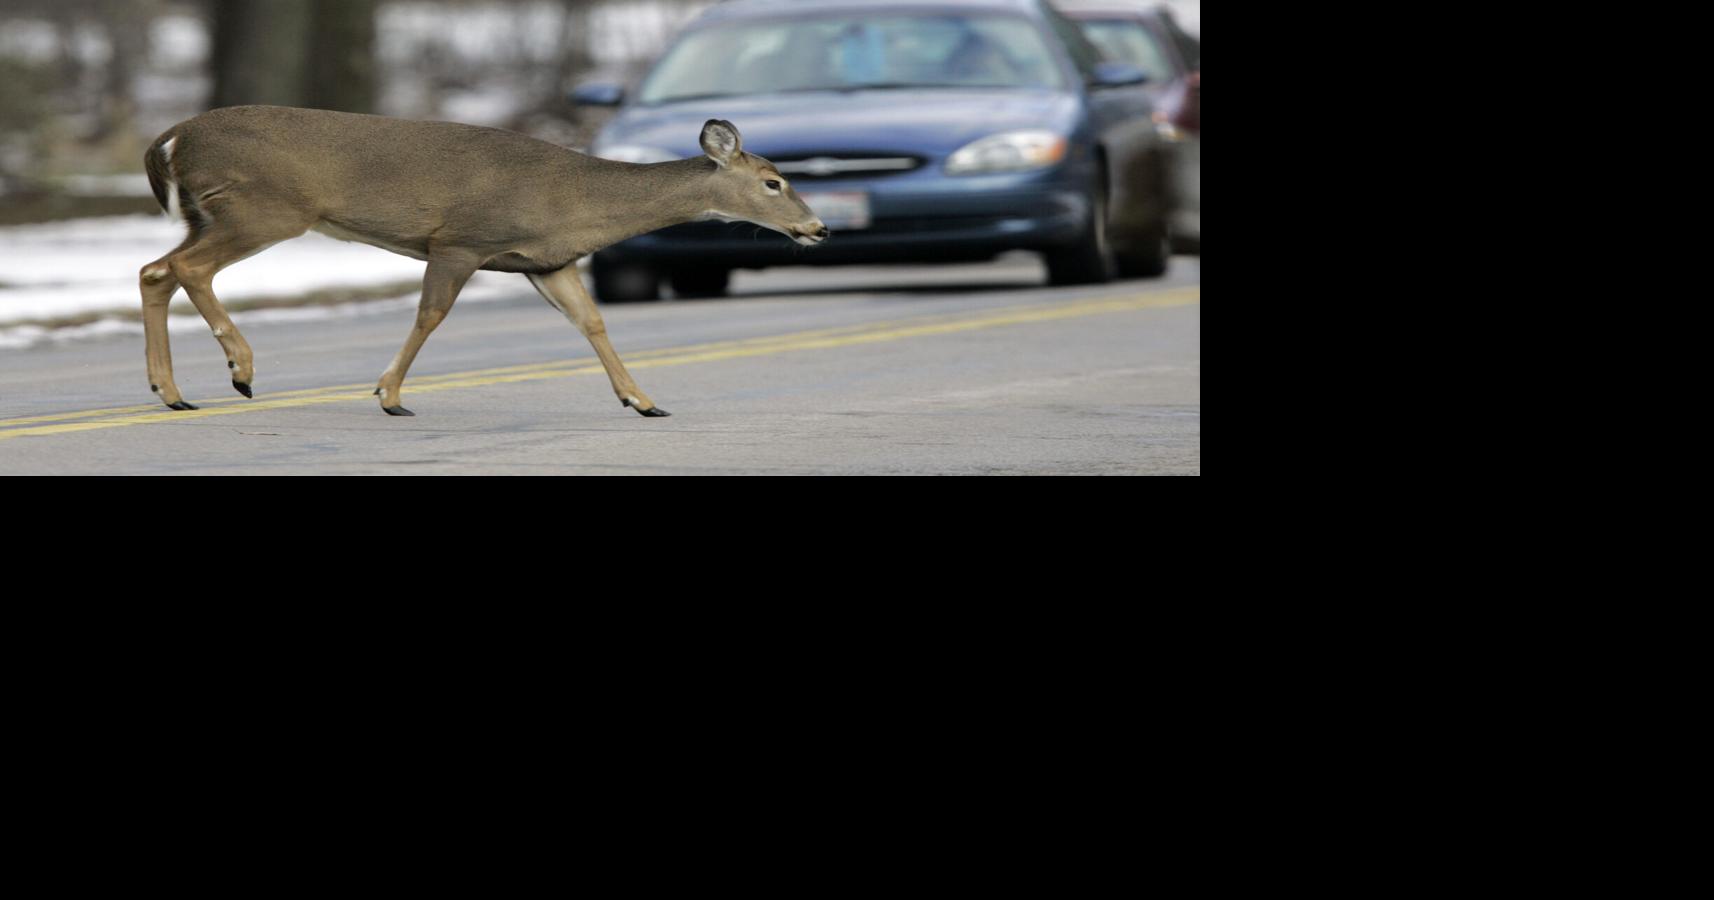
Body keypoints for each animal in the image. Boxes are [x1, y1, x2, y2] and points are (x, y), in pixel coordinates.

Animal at [138, 106, 827, 417]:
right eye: (773, 182)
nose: (817, 228)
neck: (579, 201)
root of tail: (175, 134)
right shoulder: (460, 241)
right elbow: (430, 316)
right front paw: (389, 395)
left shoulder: (546, 261)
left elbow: (593, 322)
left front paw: (642, 399)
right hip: (263, 209)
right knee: (187, 270)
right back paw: (239, 369)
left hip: (214, 214)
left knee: (156, 271)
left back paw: (171, 391)